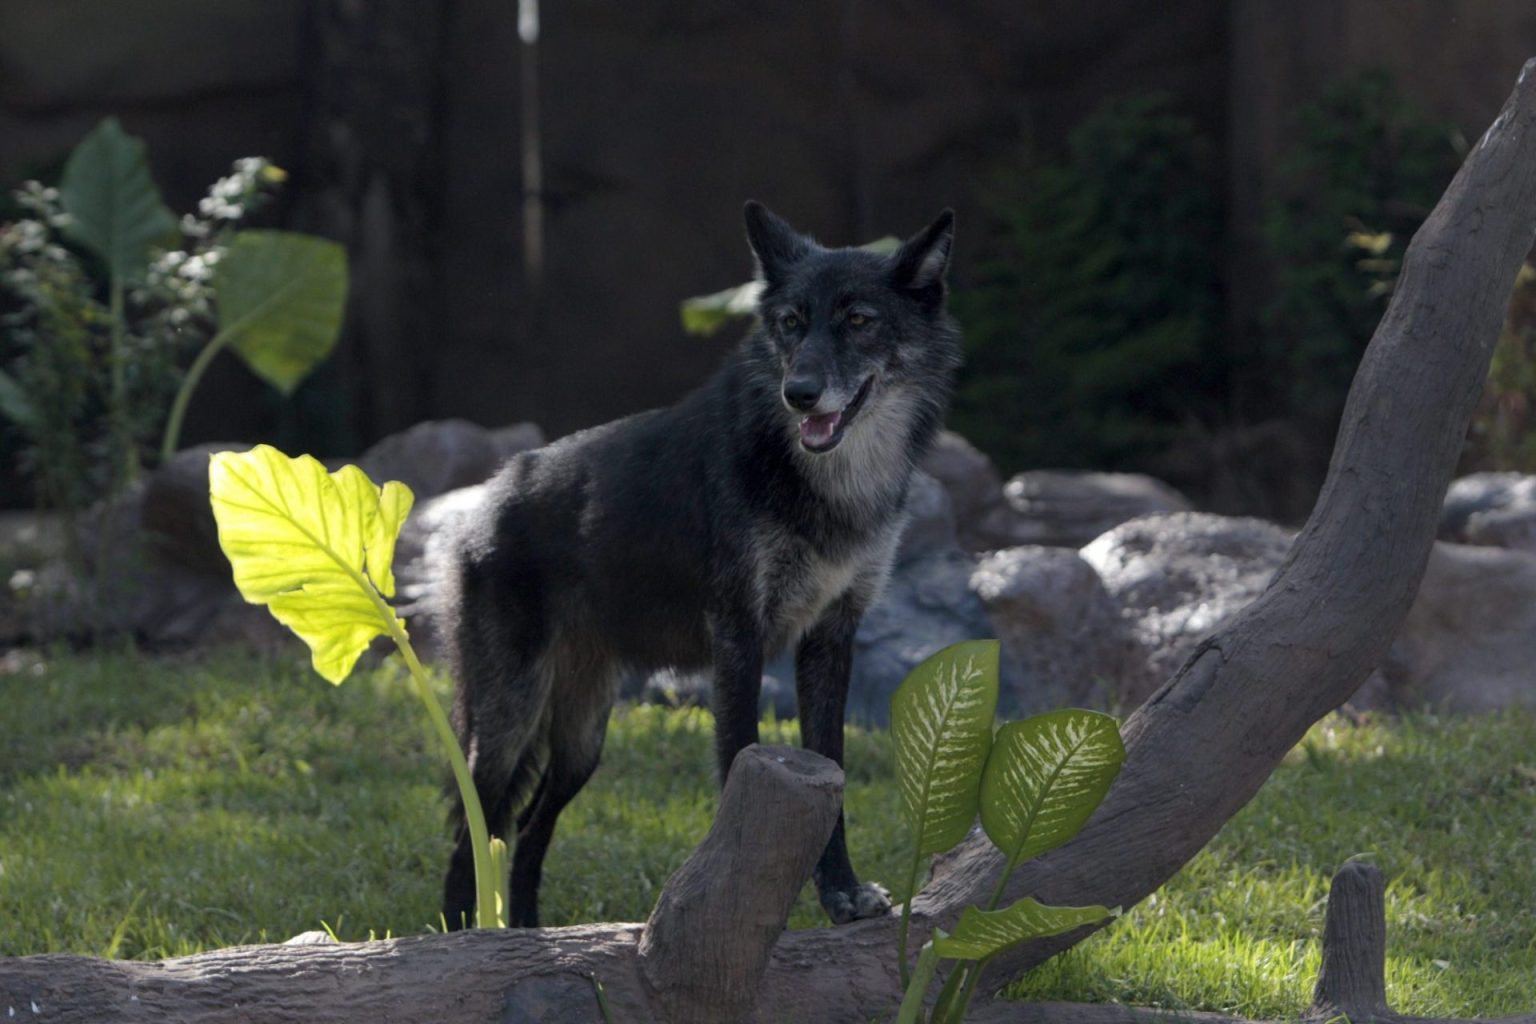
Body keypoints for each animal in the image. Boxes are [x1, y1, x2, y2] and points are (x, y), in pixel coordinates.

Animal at [440, 201, 961, 929]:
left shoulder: (831, 638)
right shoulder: (739, 637)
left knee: (529, 831)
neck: (834, 485)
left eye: (859, 320)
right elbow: (739, 756)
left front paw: (842, 895)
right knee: (472, 829)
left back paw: (528, 933)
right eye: (791, 323)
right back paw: (461, 936)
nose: (800, 393)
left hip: (581, 745)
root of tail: (480, 504)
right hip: (509, 724)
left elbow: (831, 769)